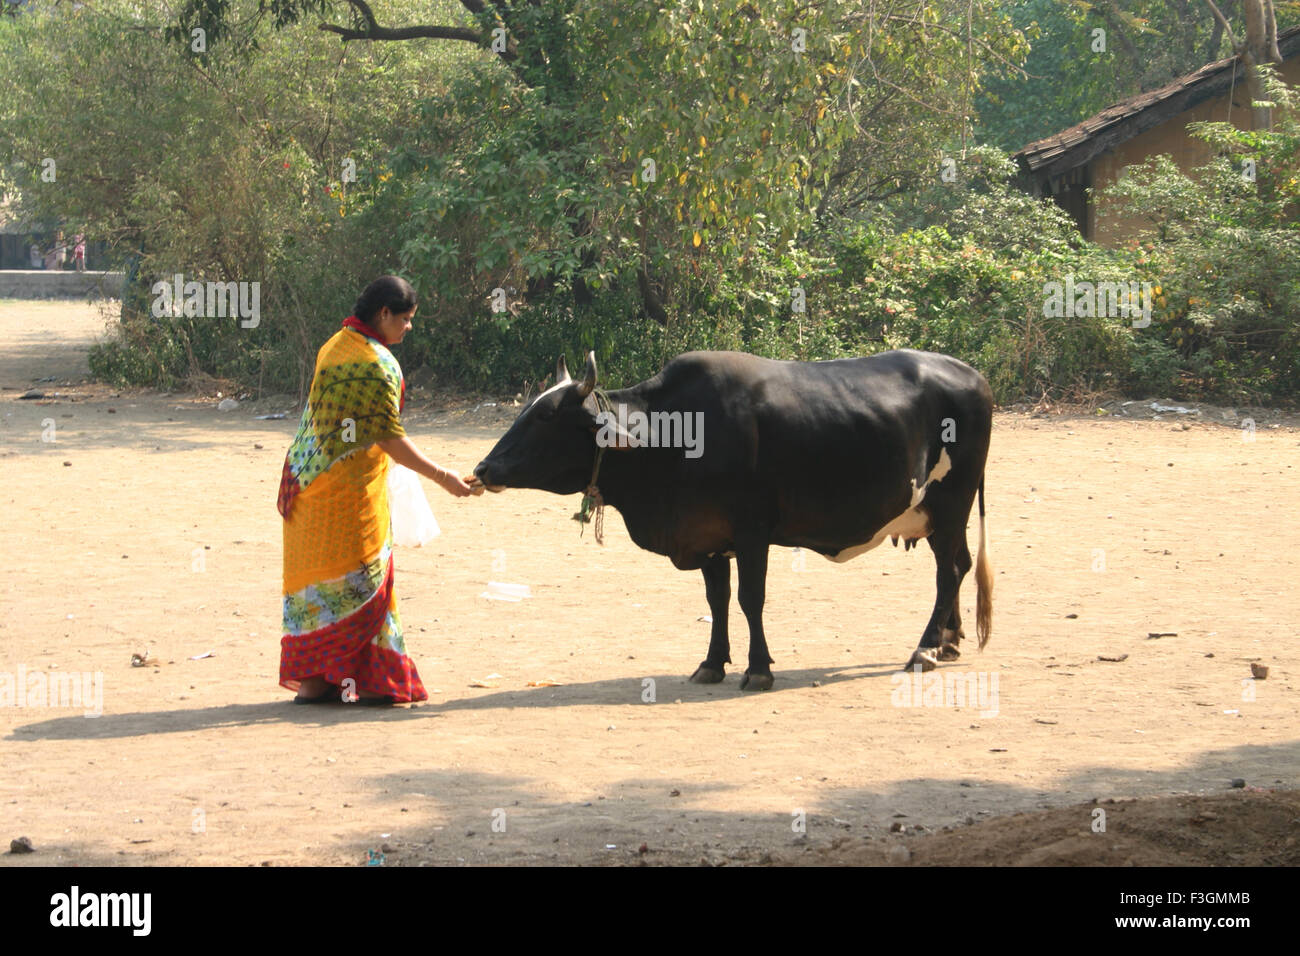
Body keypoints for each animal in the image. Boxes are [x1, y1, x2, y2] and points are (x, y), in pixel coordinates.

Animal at [472, 349, 993, 689]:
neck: (676, 434)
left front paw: (758, 668)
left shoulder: (751, 533)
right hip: (942, 516)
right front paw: (712, 662)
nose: (482, 469)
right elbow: (718, 600)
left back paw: (925, 648)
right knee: (959, 565)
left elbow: (749, 599)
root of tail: (974, 376)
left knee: (948, 573)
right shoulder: (709, 538)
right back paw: (949, 641)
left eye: (545, 417)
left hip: (952, 504)